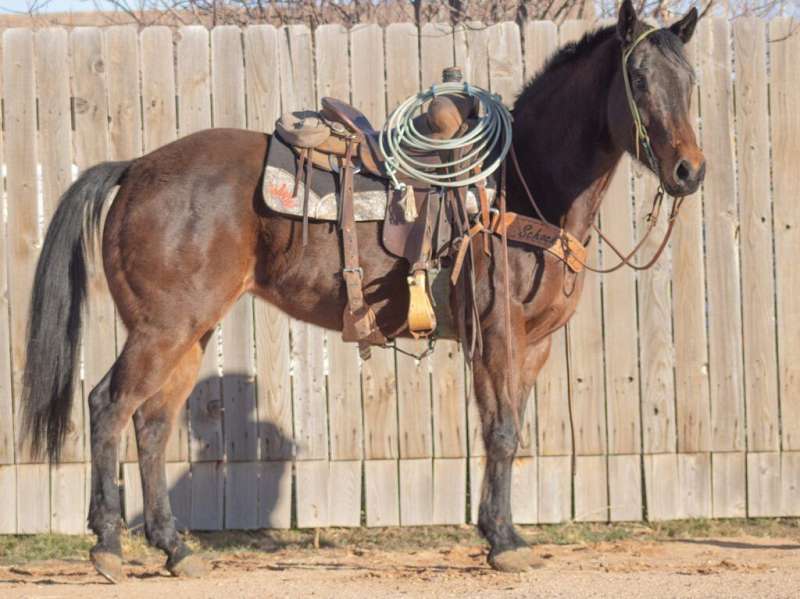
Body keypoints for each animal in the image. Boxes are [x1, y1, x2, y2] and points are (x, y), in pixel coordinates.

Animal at [21, 0, 704, 581]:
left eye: (691, 81)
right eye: (638, 79)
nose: (689, 171)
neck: (521, 181)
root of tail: (134, 170)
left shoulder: (532, 344)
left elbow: (508, 429)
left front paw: (502, 533)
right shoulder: (497, 334)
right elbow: (502, 431)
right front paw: (504, 543)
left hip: (190, 333)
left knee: (152, 424)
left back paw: (175, 549)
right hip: (161, 330)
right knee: (109, 406)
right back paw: (108, 549)